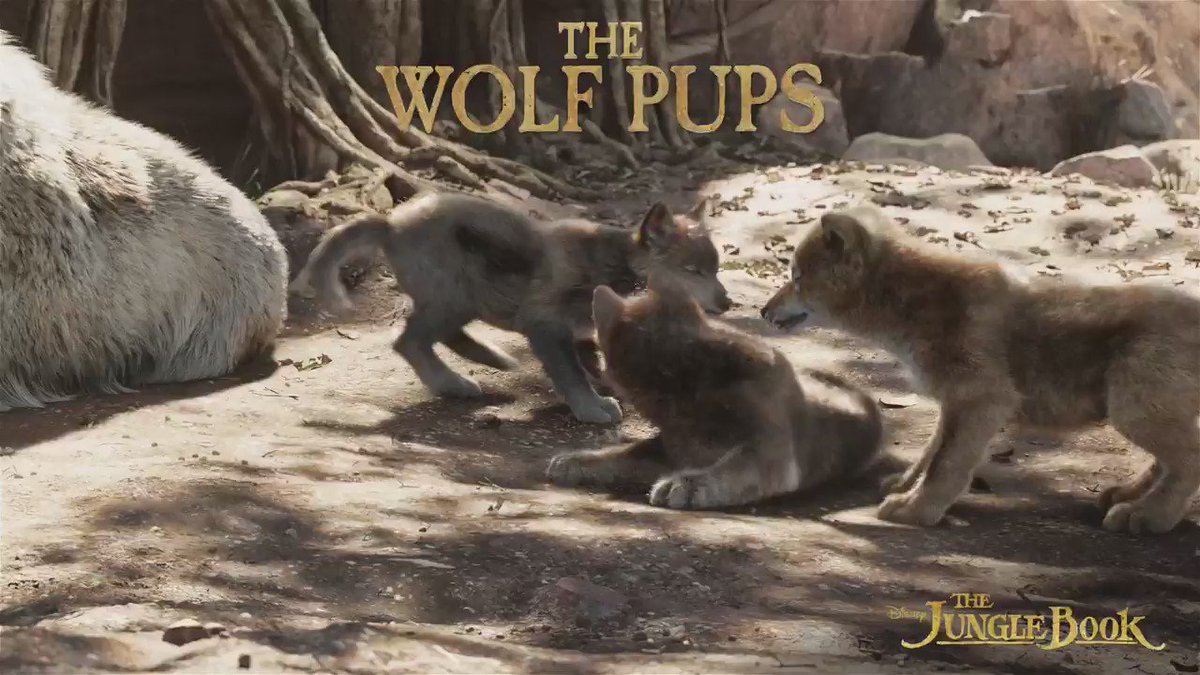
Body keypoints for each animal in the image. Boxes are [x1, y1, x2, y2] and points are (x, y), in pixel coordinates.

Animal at [289, 192, 730, 424]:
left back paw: (490, 358)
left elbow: (591, 360)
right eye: (694, 271)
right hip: (455, 294)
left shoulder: (578, 330)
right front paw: (592, 408)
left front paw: (606, 385)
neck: (622, 268)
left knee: (435, 335)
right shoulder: (545, 325)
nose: (728, 302)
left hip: (460, 298)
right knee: (409, 341)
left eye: (715, 268)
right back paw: (452, 383)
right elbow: (571, 373)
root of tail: (391, 224)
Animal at [545, 276, 883, 508]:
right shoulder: (670, 448)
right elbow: (622, 455)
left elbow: (732, 469)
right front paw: (576, 460)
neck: (687, 381)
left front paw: (687, 485)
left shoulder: (770, 453)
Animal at [762, 205, 1200, 534]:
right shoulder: (954, 402)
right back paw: (1129, 495)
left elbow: (947, 462)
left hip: (1133, 407)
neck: (905, 302)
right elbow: (933, 450)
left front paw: (916, 510)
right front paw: (906, 486)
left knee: (1189, 456)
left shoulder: (980, 398)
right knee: (1169, 459)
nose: (763, 311)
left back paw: (1147, 515)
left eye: (796, 278)